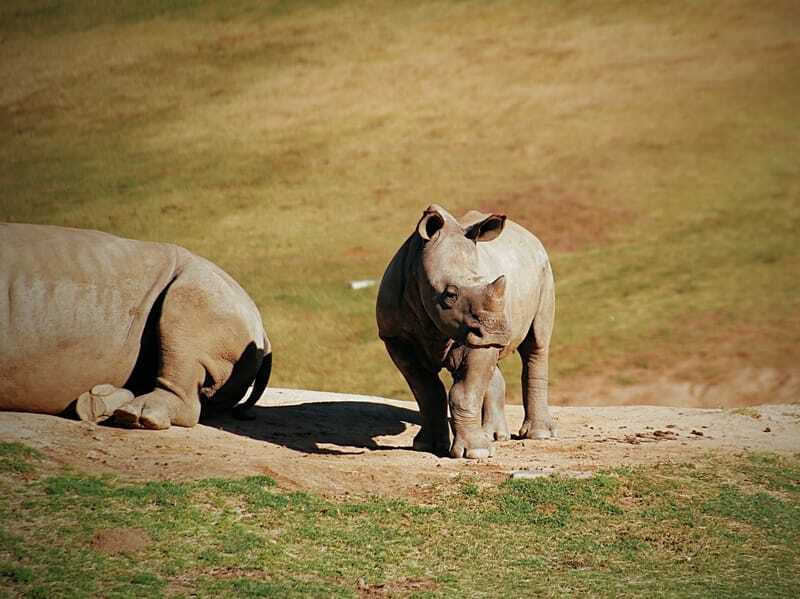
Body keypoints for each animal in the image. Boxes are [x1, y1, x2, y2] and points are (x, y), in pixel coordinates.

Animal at [376, 204, 556, 458]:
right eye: (450, 295)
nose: (498, 331)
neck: (417, 266)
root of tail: (530, 235)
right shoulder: (396, 338)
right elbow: (427, 391)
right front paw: (427, 446)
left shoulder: (476, 331)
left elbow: (464, 392)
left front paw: (475, 453)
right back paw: (494, 436)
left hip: (544, 271)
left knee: (536, 345)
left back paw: (538, 435)